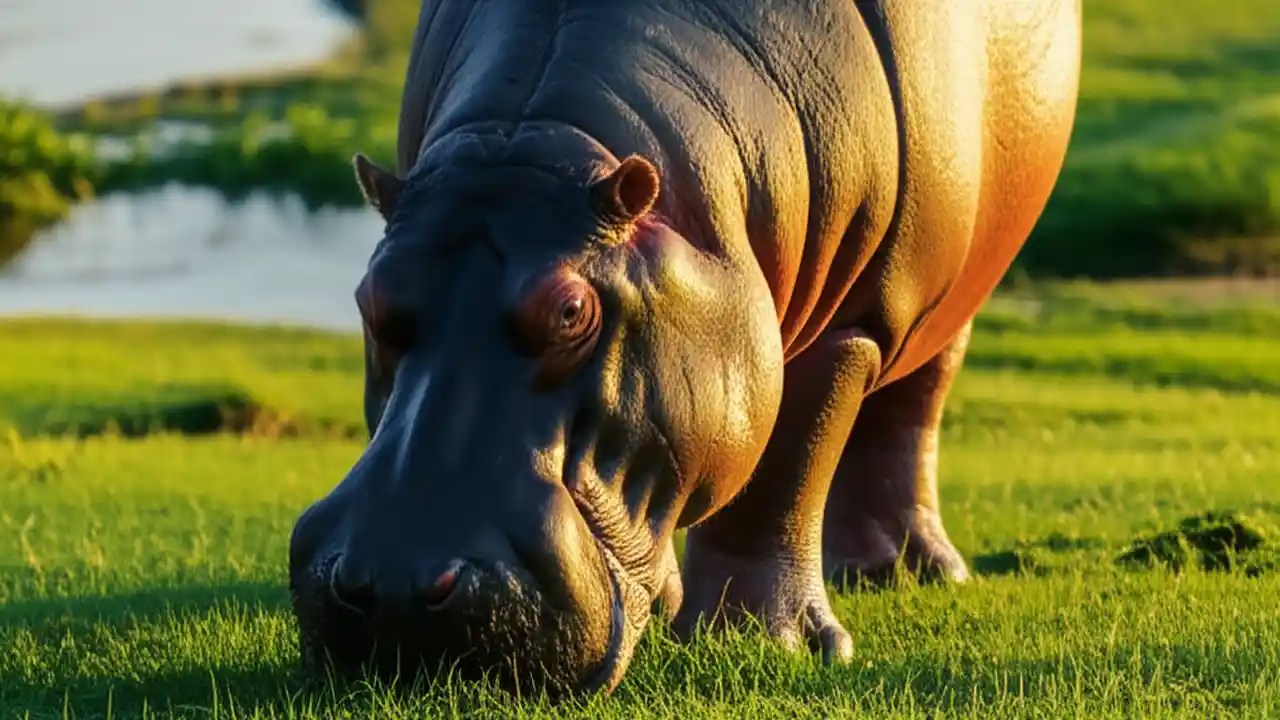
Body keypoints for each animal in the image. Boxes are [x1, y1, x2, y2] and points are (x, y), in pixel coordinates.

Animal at [289, 0, 1081, 695]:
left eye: (572, 311)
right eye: (371, 294)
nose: (394, 586)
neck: (549, 140)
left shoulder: (850, 326)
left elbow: (785, 475)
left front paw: (763, 643)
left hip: (949, 293)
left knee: (910, 410)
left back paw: (906, 573)